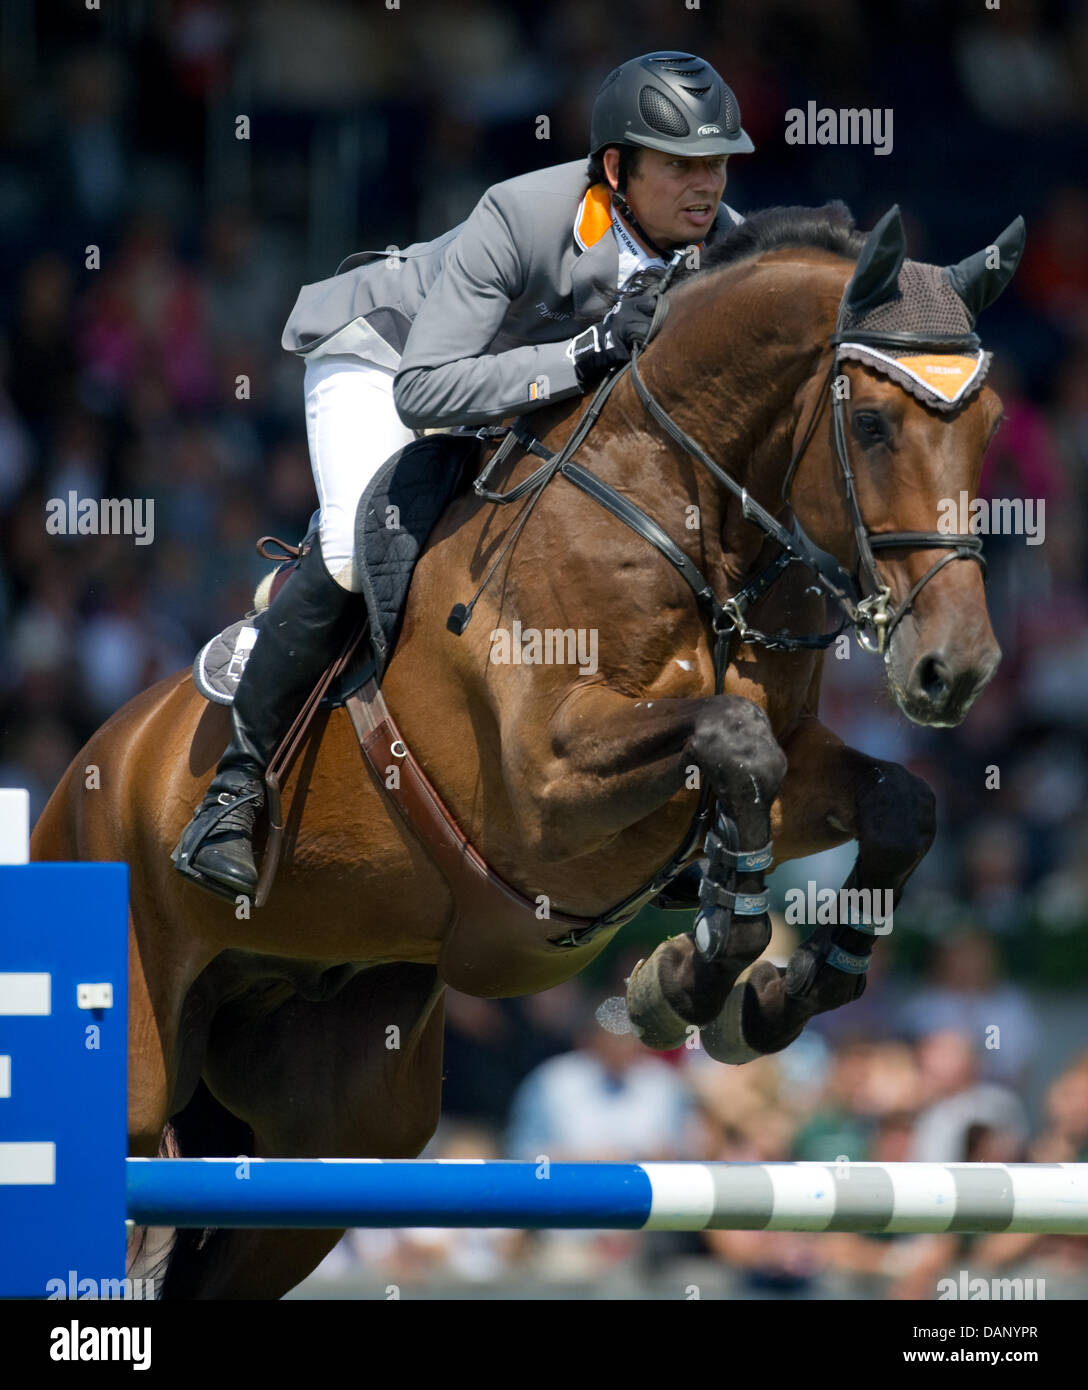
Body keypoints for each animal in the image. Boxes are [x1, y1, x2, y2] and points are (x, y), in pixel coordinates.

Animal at [30, 202, 1023, 1297]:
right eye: (874, 425)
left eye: (988, 427)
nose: (955, 668)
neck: (682, 519)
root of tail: (93, 766)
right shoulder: (548, 795)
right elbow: (735, 745)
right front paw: (697, 975)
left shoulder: (790, 762)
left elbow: (893, 802)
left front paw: (766, 992)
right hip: (137, 1057)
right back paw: (225, 825)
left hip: (337, 1132)